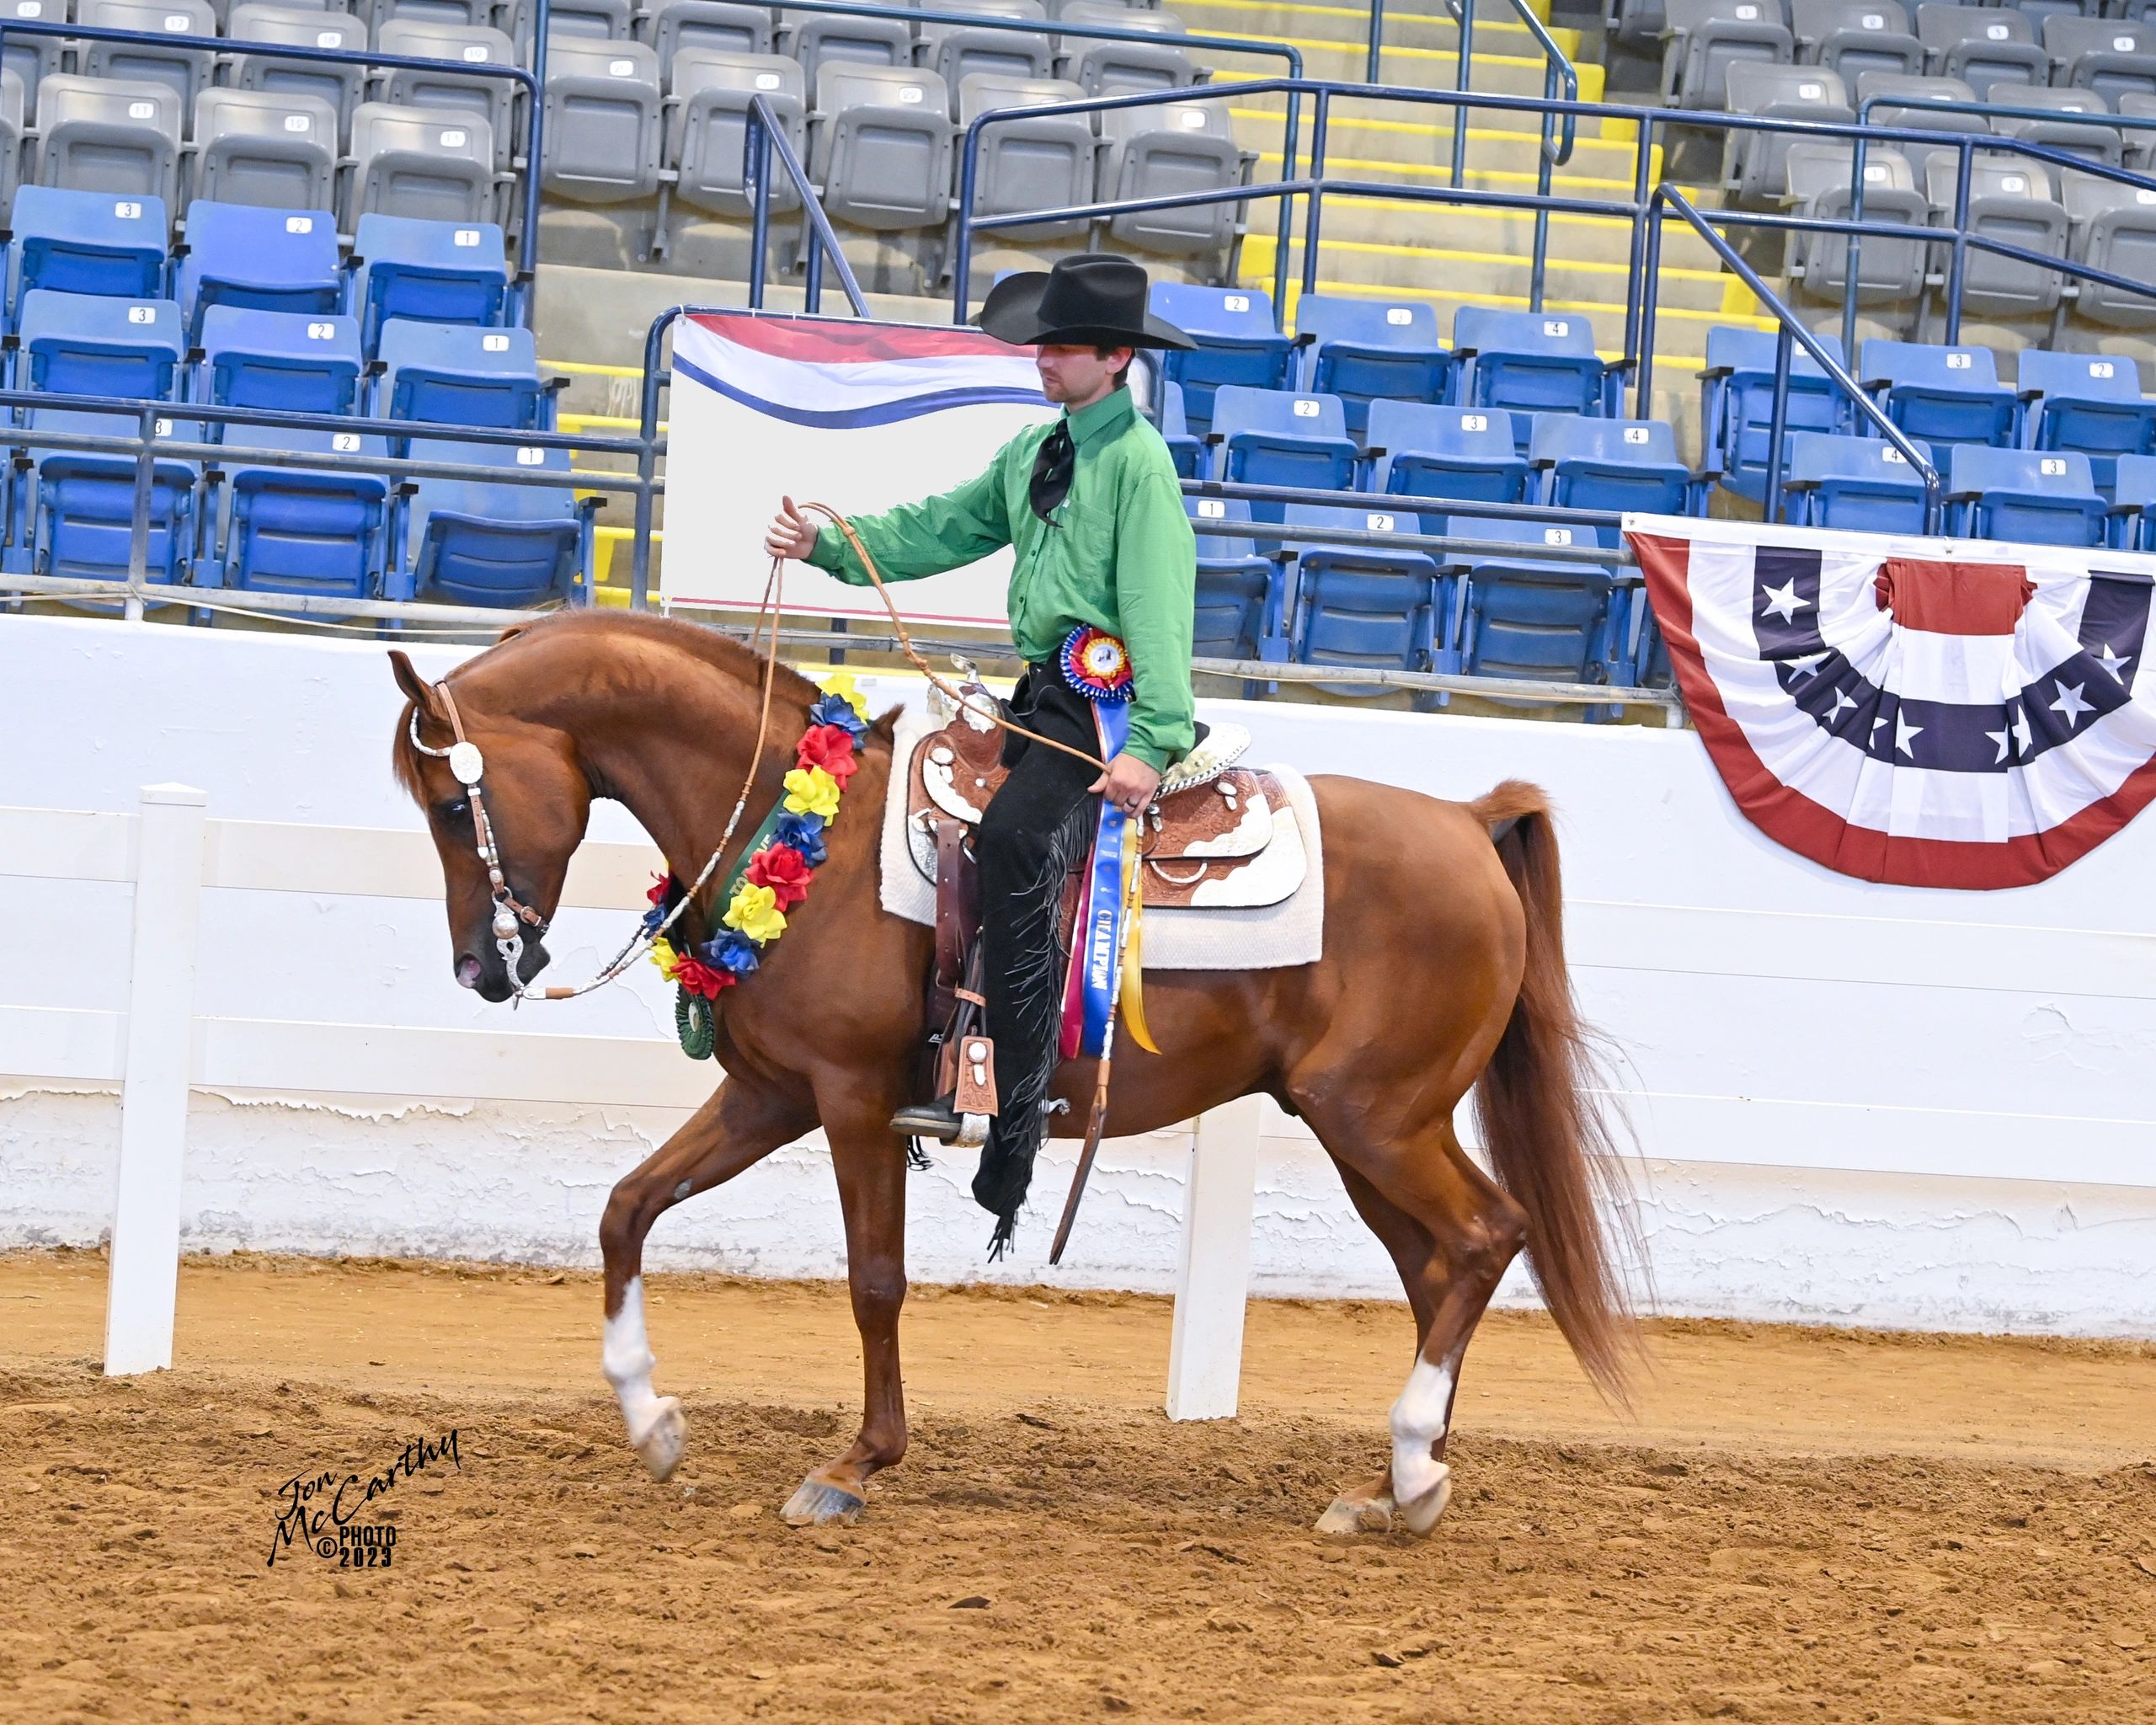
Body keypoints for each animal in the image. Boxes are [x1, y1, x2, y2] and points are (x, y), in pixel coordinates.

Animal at [387, 609, 1636, 1536]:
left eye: (452, 803)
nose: (483, 966)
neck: (808, 833)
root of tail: (1470, 822)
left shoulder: (852, 1102)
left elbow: (874, 1281)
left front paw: (854, 1463)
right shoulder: (767, 1094)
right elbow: (627, 1206)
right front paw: (651, 1421)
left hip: (1378, 1119)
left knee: (1483, 1238)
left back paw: (1416, 1467)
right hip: (1366, 1132)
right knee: (1438, 1269)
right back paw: (1392, 1487)